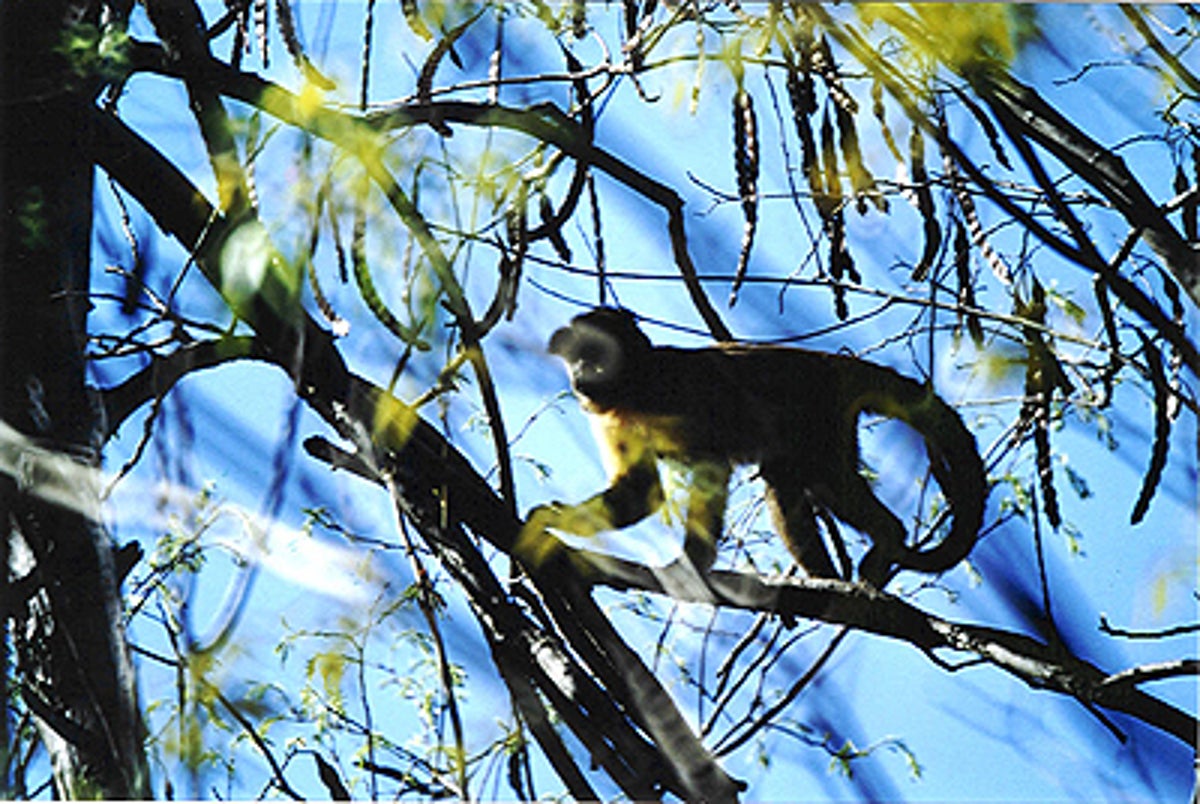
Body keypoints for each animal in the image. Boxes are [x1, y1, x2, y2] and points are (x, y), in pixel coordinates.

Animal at [519, 306, 986, 586]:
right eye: (577, 356)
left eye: (595, 353)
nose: (581, 371)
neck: (634, 388)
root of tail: (832, 363)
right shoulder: (606, 416)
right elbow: (639, 493)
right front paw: (549, 520)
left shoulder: (675, 388)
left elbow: (712, 464)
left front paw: (692, 566)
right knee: (793, 477)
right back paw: (830, 576)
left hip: (819, 411)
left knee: (809, 473)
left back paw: (885, 538)